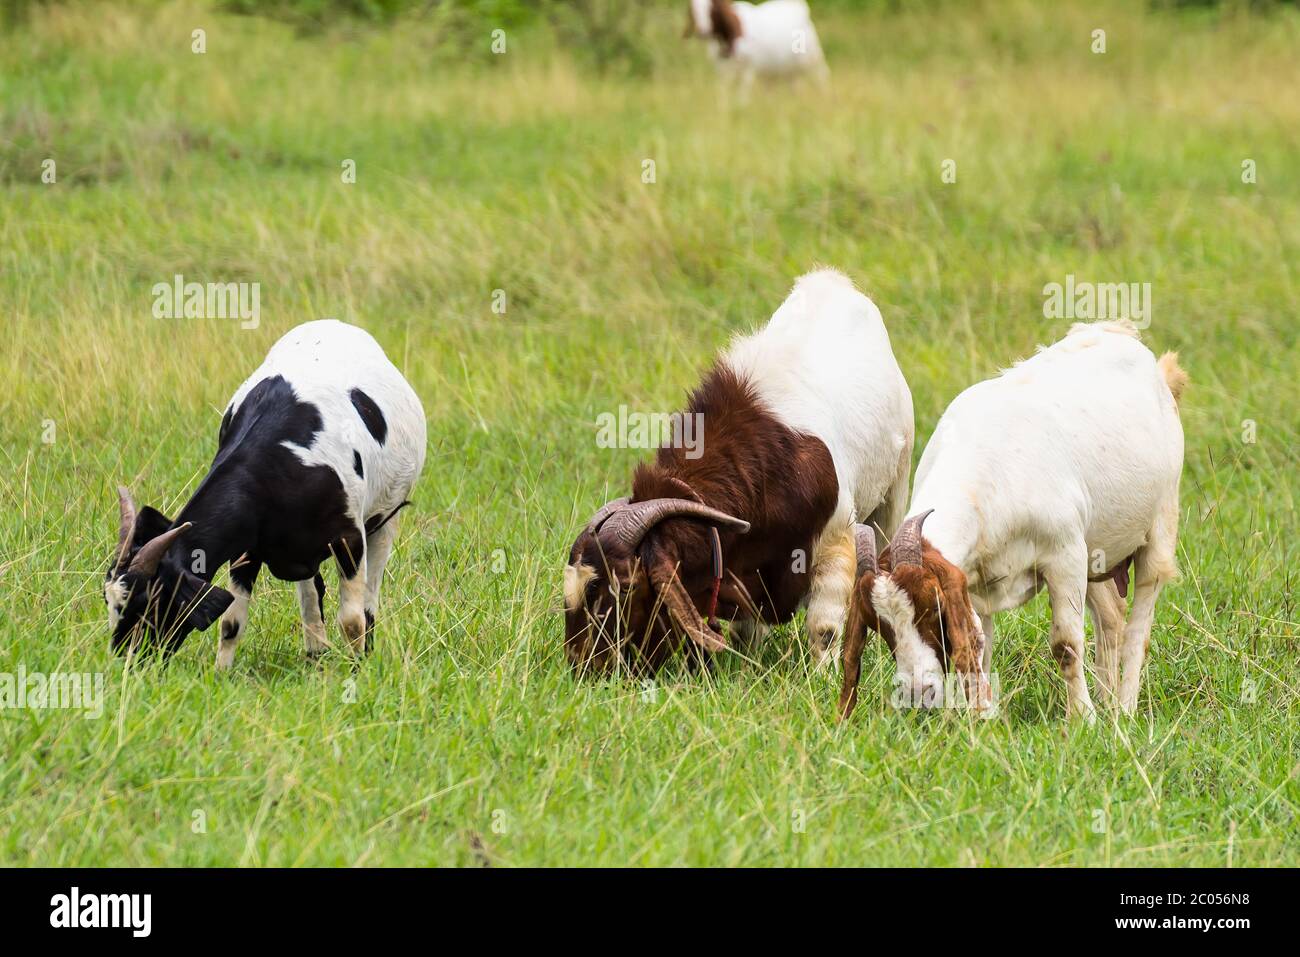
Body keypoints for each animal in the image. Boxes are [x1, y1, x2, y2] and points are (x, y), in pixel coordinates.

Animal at [105, 319, 426, 666]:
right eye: (109, 601)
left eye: (151, 602)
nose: (125, 660)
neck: (283, 462)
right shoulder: (246, 549)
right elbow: (231, 622)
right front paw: (221, 672)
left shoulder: (350, 539)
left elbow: (352, 621)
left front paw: (358, 670)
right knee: (310, 594)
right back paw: (316, 654)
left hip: (385, 519)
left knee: (368, 599)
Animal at [564, 269, 914, 675]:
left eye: (625, 586)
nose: (582, 668)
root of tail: (830, 280)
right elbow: (747, 631)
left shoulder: (835, 537)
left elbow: (823, 627)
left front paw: (822, 678)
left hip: (894, 491)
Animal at [683, 0, 829, 99]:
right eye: (694, 10)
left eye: (712, 8)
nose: (703, 32)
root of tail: (800, 7)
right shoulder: (723, 69)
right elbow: (722, 92)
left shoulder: (749, 68)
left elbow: (742, 95)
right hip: (783, 71)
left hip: (814, 59)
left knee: (822, 78)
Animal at [838, 321, 1187, 721]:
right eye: (881, 626)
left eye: (933, 609)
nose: (917, 693)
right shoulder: (974, 578)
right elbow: (980, 643)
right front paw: (980, 715)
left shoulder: (1066, 555)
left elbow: (1067, 645)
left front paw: (1082, 718)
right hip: (1098, 549)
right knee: (1111, 617)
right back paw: (1108, 701)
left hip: (1161, 523)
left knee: (1139, 624)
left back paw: (1125, 710)